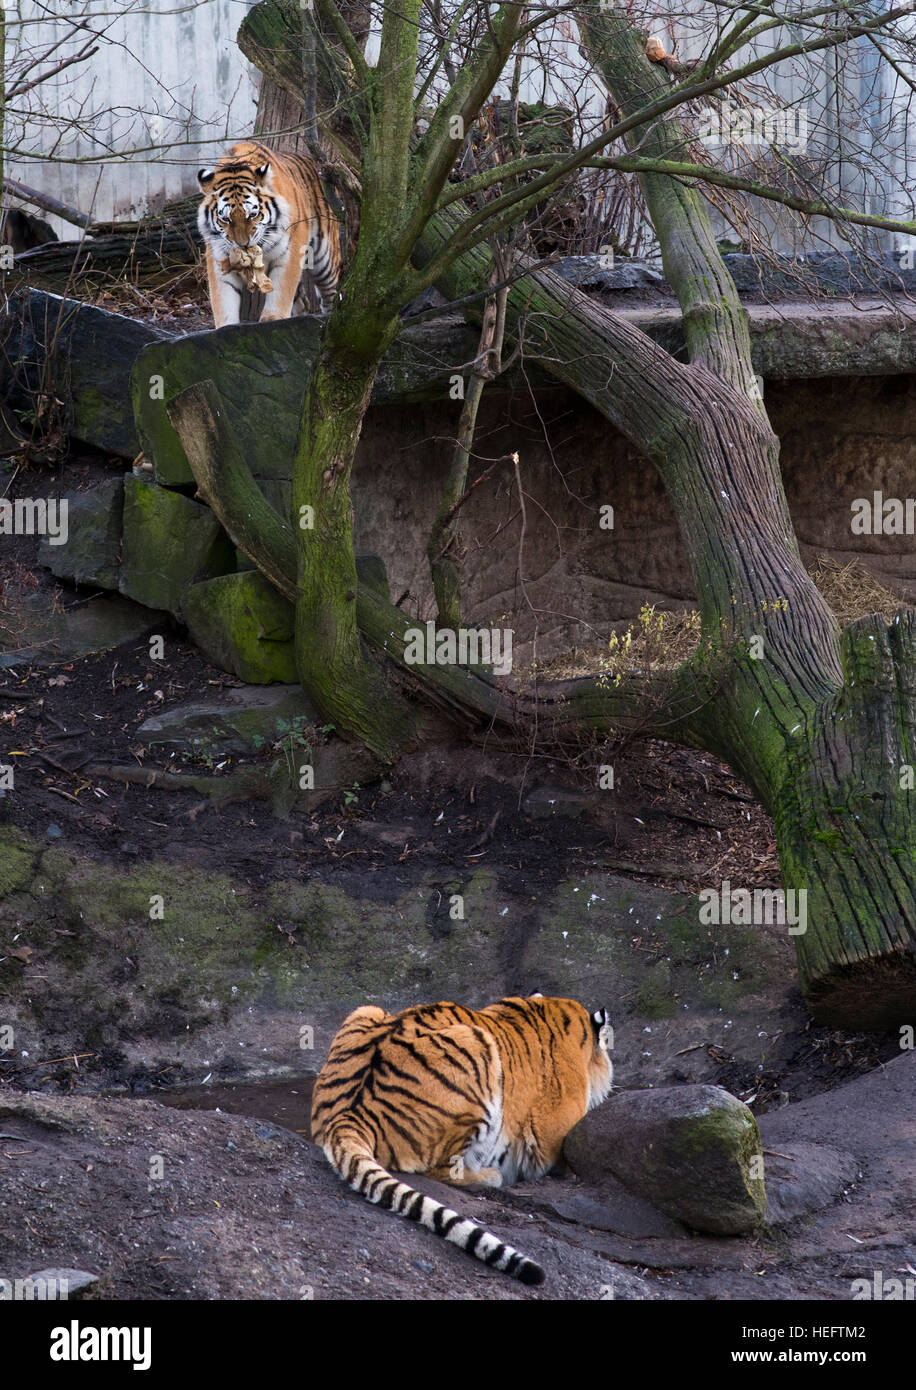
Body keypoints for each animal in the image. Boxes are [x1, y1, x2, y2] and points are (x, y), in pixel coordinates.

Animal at [197, 140, 341, 327]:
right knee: (303, 302)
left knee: (332, 294)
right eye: (226, 219)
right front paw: (226, 326)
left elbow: (281, 292)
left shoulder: (289, 253)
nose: (243, 244)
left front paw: (273, 319)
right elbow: (223, 300)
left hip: (325, 260)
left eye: (252, 215)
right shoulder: (219, 258)